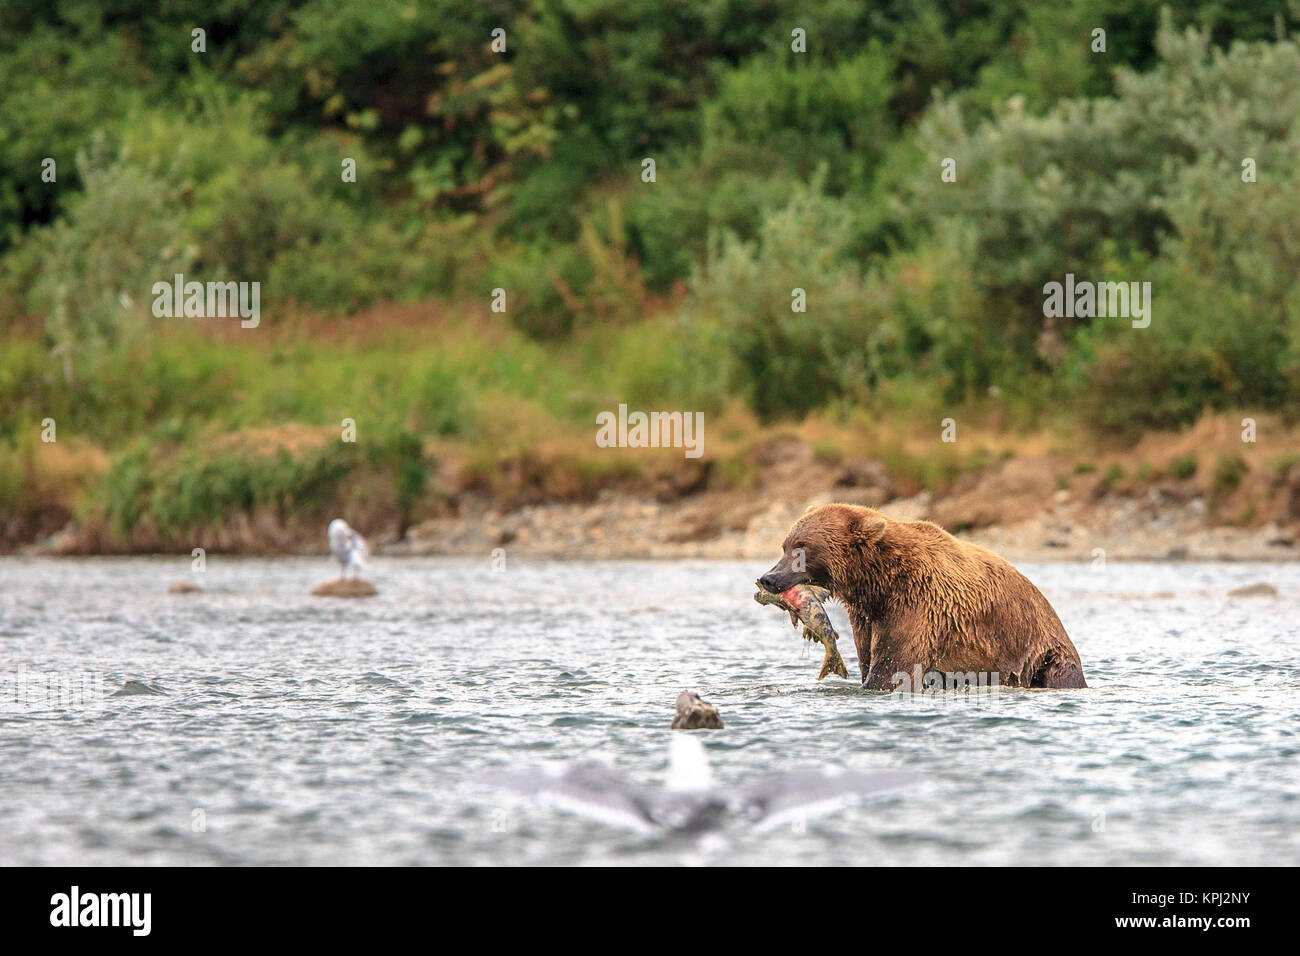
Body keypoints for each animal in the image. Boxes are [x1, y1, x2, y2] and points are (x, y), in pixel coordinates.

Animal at [757, 504, 1086, 690]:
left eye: (802, 547)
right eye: (785, 546)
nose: (768, 578)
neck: (881, 582)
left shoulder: (921, 605)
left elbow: (894, 665)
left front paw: (876, 683)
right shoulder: (867, 615)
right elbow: (868, 656)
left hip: (1042, 649)